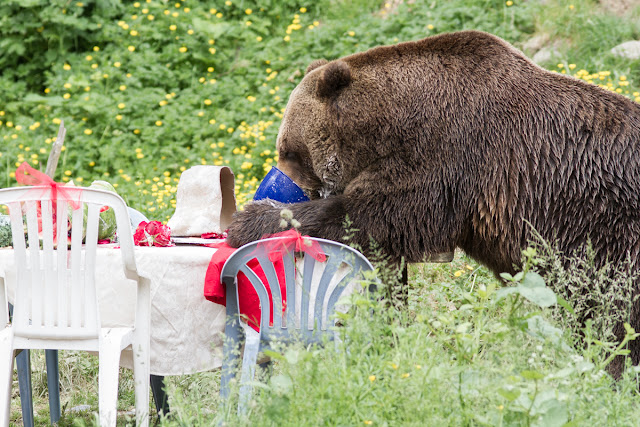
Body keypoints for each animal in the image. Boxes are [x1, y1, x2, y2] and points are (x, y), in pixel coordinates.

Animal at [226, 30, 640, 378]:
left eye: (289, 150)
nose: (278, 181)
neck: (385, 127)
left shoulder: (445, 156)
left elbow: (375, 216)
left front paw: (249, 219)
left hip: (610, 235)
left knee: (616, 316)